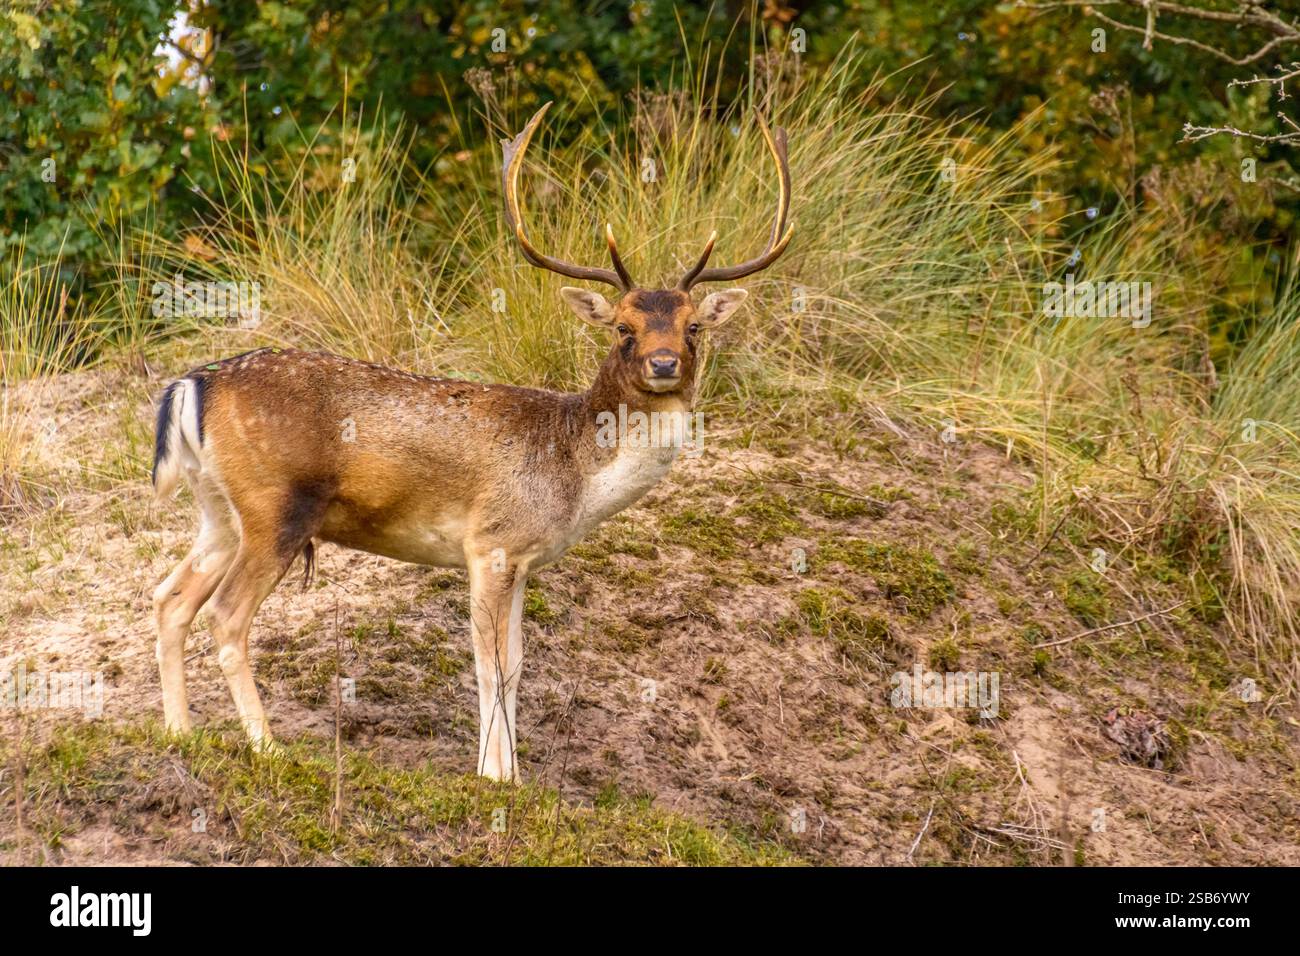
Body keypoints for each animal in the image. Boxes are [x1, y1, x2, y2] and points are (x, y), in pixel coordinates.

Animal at [149, 102, 792, 781]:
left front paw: (515, 776)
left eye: (694, 326)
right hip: (277, 505)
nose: (664, 363)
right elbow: (491, 666)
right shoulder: (491, 543)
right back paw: (266, 745)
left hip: (220, 511)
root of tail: (190, 385)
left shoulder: (524, 559)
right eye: (623, 327)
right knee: (225, 616)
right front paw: (494, 776)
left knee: (169, 597)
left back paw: (180, 733)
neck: (574, 477)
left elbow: (518, 665)